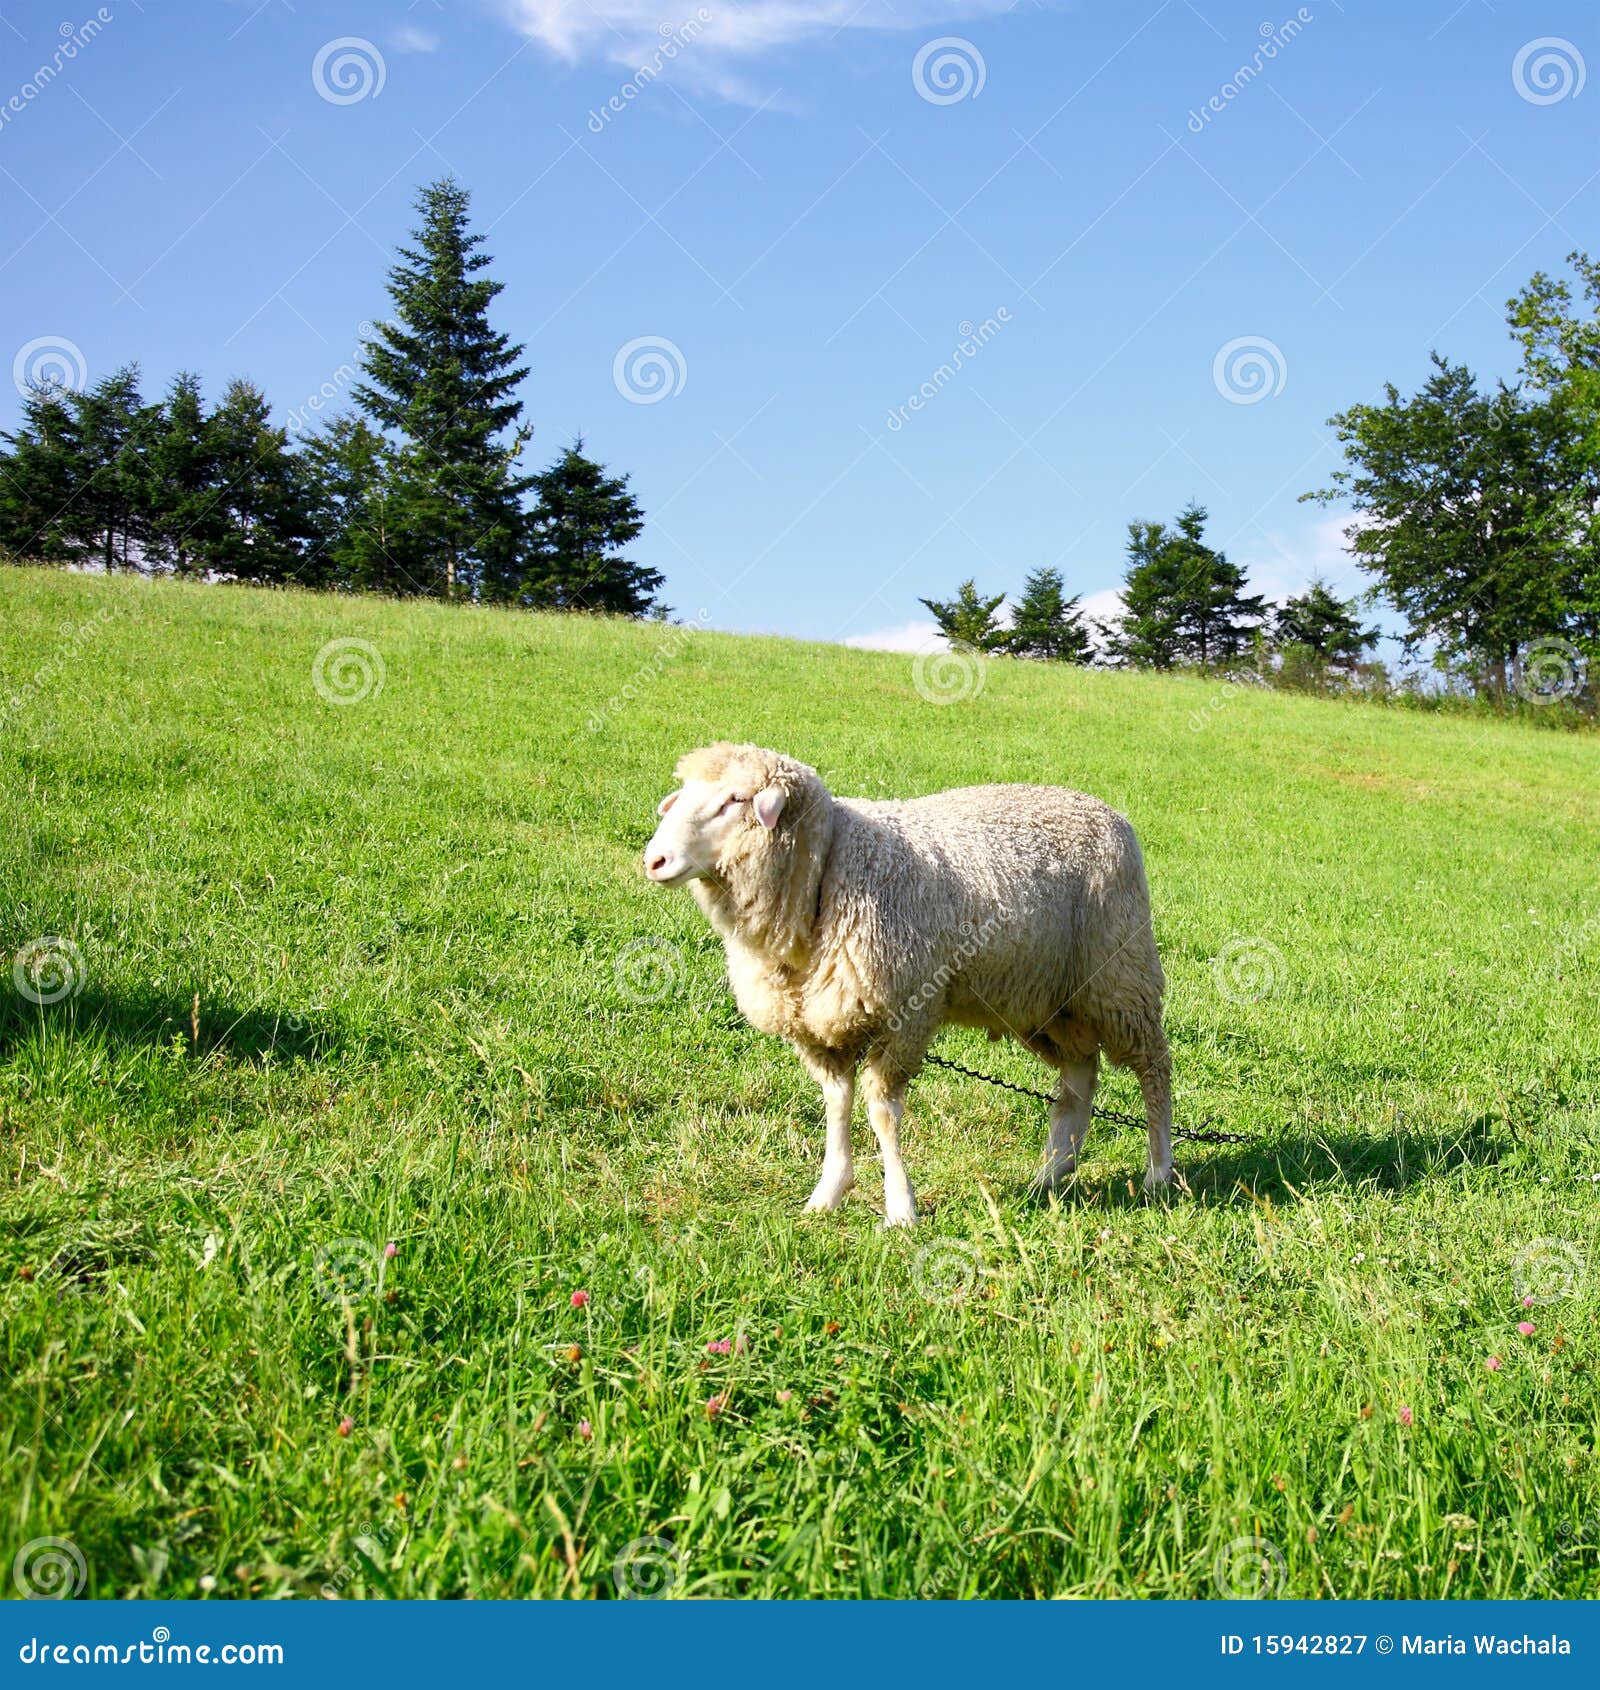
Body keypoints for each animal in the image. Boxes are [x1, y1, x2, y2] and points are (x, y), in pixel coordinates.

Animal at [641, 743, 1172, 1226]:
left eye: (734, 800)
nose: (654, 861)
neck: (828, 868)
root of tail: (1110, 812)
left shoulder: (907, 1013)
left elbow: (881, 1112)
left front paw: (901, 1209)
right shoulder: (818, 1022)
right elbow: (837, 1104)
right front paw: (828, 1192)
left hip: (1121, 974)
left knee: (1154, 1067)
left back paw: (1158, 1171)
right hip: (1046, 999)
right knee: (1080, 1078)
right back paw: (1051, 1175)